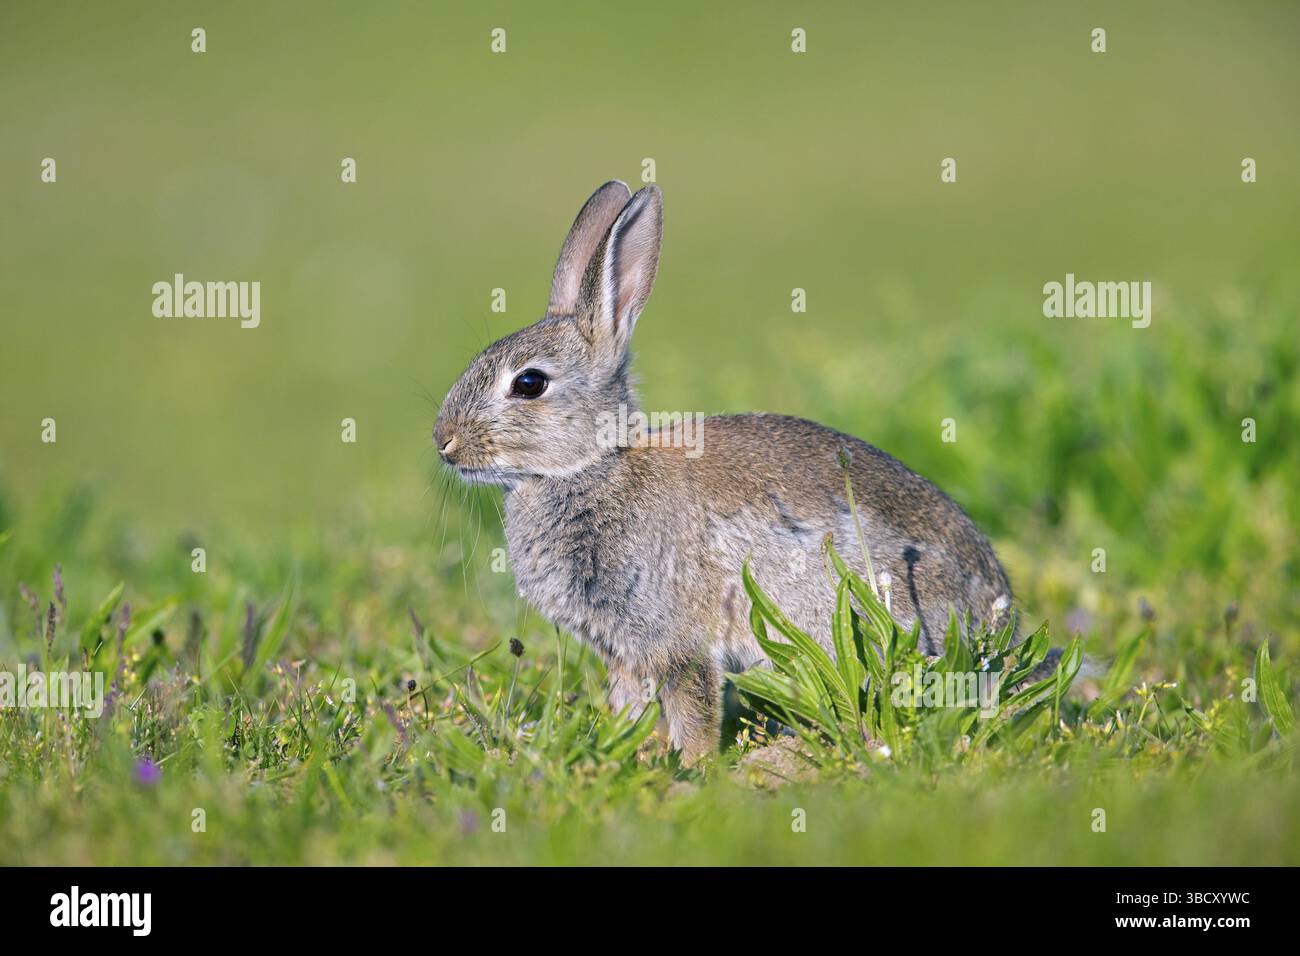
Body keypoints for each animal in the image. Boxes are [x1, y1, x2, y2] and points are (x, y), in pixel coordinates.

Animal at [434, 180, 1014, 761]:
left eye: (529, 383)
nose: (444, 442)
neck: (590, 467)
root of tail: (1000, 617)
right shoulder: (625, 648)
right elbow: (629, 702)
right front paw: (626, 747)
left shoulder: (676, 635)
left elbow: (692, 702)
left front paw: (695, 766)